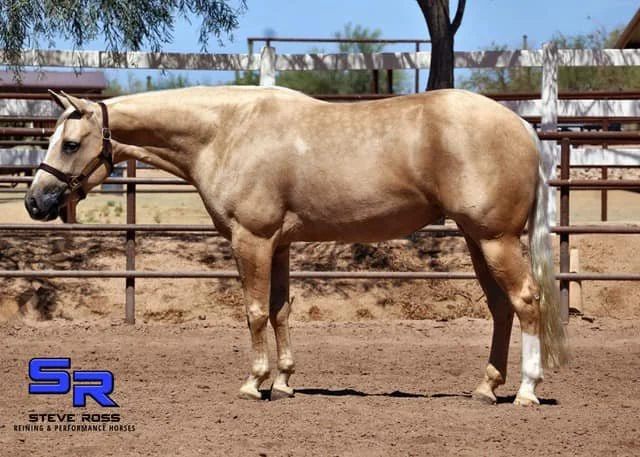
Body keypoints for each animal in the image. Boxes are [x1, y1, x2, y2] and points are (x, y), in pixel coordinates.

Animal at [25, 86, 568, 405]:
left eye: (69, 144)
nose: (35, 201)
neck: (226, 131)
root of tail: (521, 126)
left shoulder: (252, 240)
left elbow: (254, 312)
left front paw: (254, 382)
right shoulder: (279, 244)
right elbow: (281, 310)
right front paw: (284, 382)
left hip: (495, 240)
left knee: (525, 301)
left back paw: (526, 390)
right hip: (479, 241)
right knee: (501, 309)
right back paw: (486, 387)